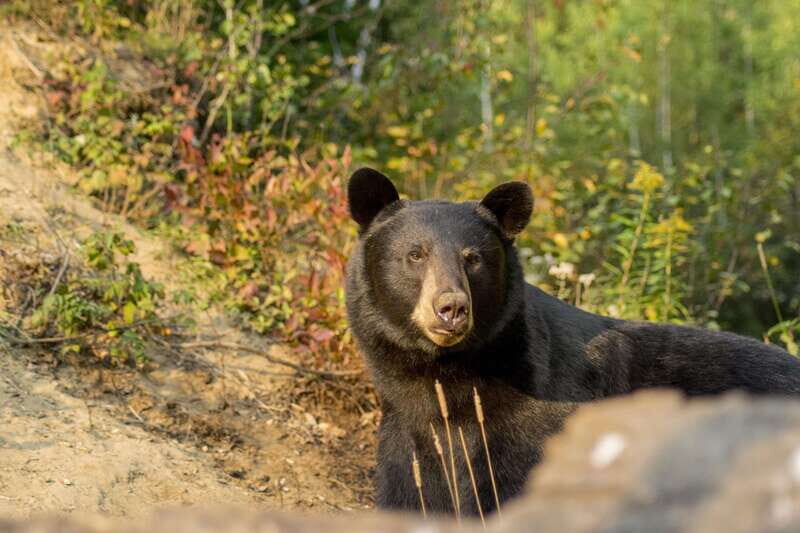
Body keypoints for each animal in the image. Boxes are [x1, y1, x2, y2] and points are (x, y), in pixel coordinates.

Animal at [344, 167, 800, 517]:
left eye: (473, 258)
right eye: (415, 255)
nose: (451, 308)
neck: (445, 374)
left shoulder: (536, 426)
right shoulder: (408, 438)